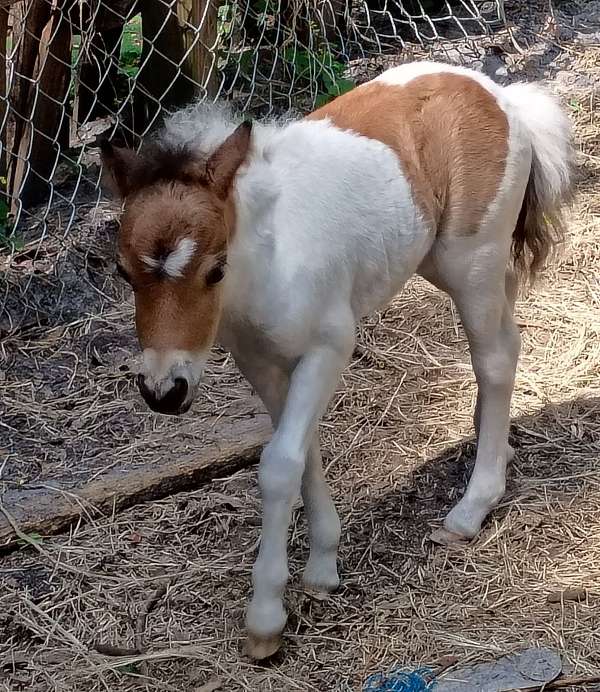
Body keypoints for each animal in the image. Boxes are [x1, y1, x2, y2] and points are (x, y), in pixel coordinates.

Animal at [100, 61, 573, 659]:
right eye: (123, 272)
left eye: (215, 268)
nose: (165, 391)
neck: (268, 260)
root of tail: (499, 95)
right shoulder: (262, 365)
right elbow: (302, 454)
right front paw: (323, 568)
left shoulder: (329, 347)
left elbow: (279, 464)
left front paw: (266, 619)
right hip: (446, 262)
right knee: (503, 330)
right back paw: (497, 443)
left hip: (470, 260)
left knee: (495, 356)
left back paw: (472, 506)